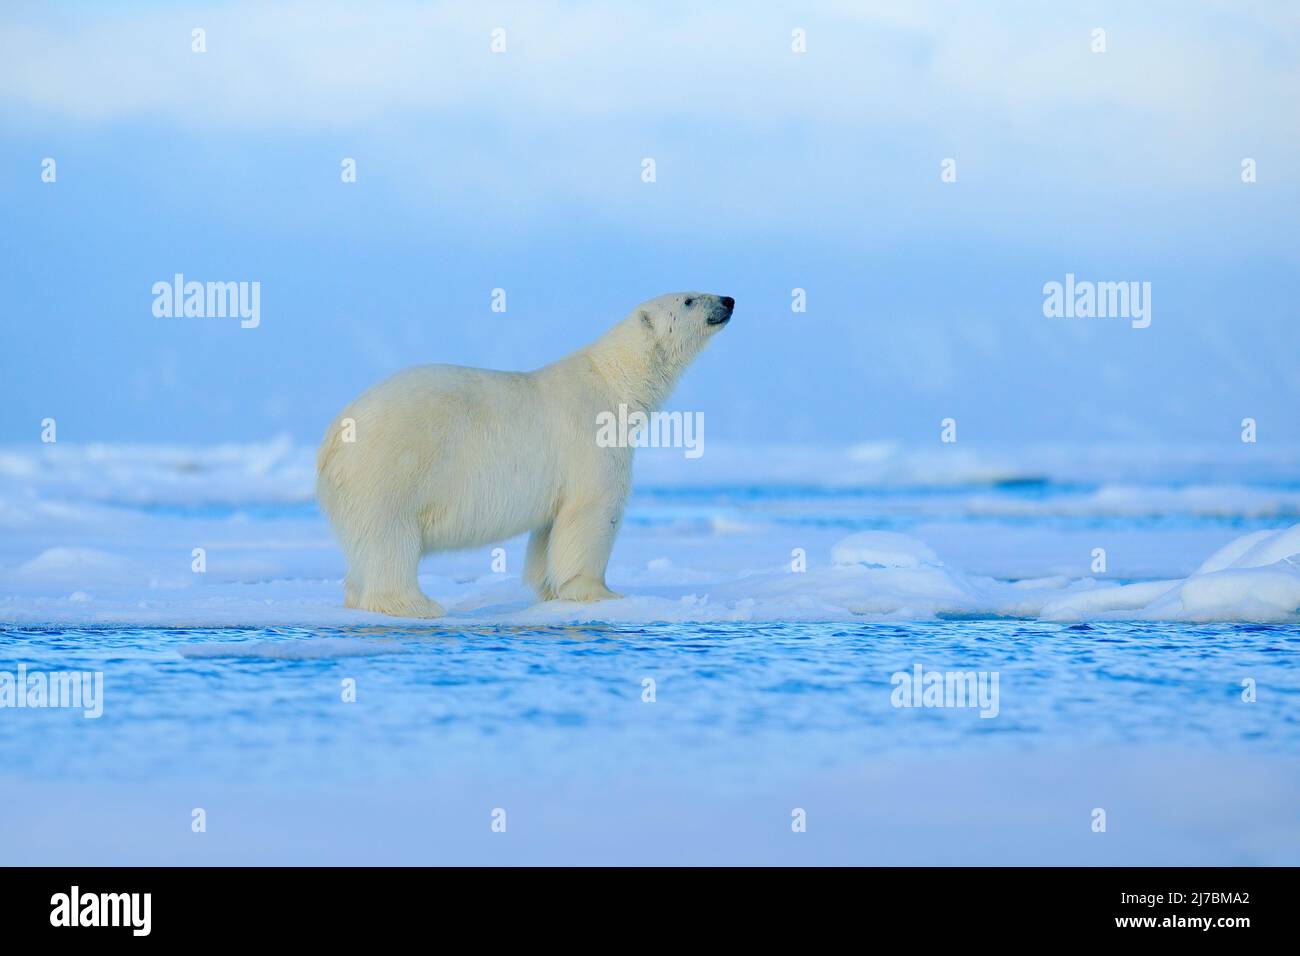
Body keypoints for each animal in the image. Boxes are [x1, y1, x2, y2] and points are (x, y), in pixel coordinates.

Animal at [316, 292, 735, 618]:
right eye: (689, 299)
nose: (729, 299)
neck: (615, 381)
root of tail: (333, 438)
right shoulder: (591, 437)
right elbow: (593, 510)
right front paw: (602, 592)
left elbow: (549, 531)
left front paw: (549, 589)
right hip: (391, 464)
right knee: (389, 536)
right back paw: (415, 604)